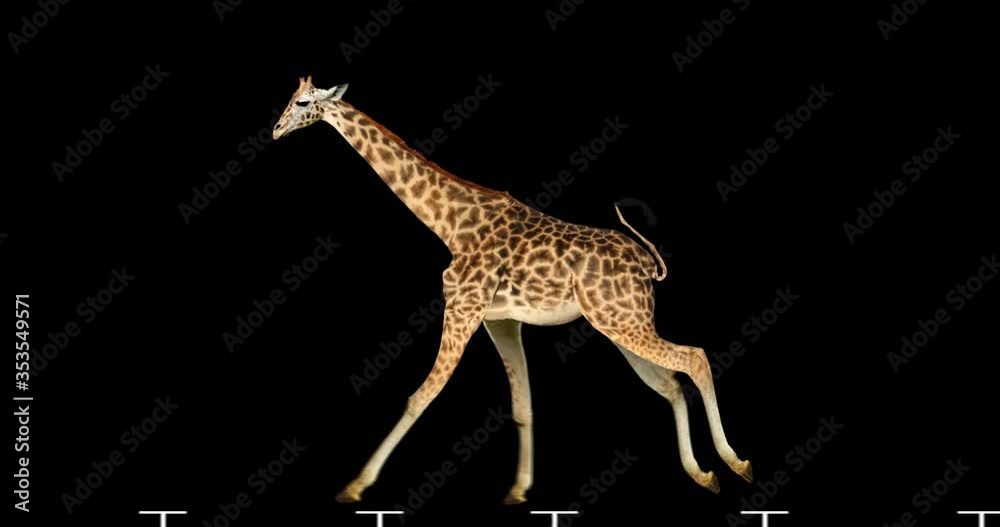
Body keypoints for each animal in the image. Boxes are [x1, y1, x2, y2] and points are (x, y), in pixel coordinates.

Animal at [273, 76, 752, 504]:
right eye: (290, 99)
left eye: (303, 103)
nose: (276, 129)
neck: (450, 225)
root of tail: (647, 266)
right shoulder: (501, 322)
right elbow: (522, 406)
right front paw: (519, 489)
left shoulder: (462, 309)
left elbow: (420, 396)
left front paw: (356, 485)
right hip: (619, 326)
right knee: (670, 383)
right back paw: (703, 474)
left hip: (623, 321)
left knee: (694, 358)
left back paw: (736, 463)